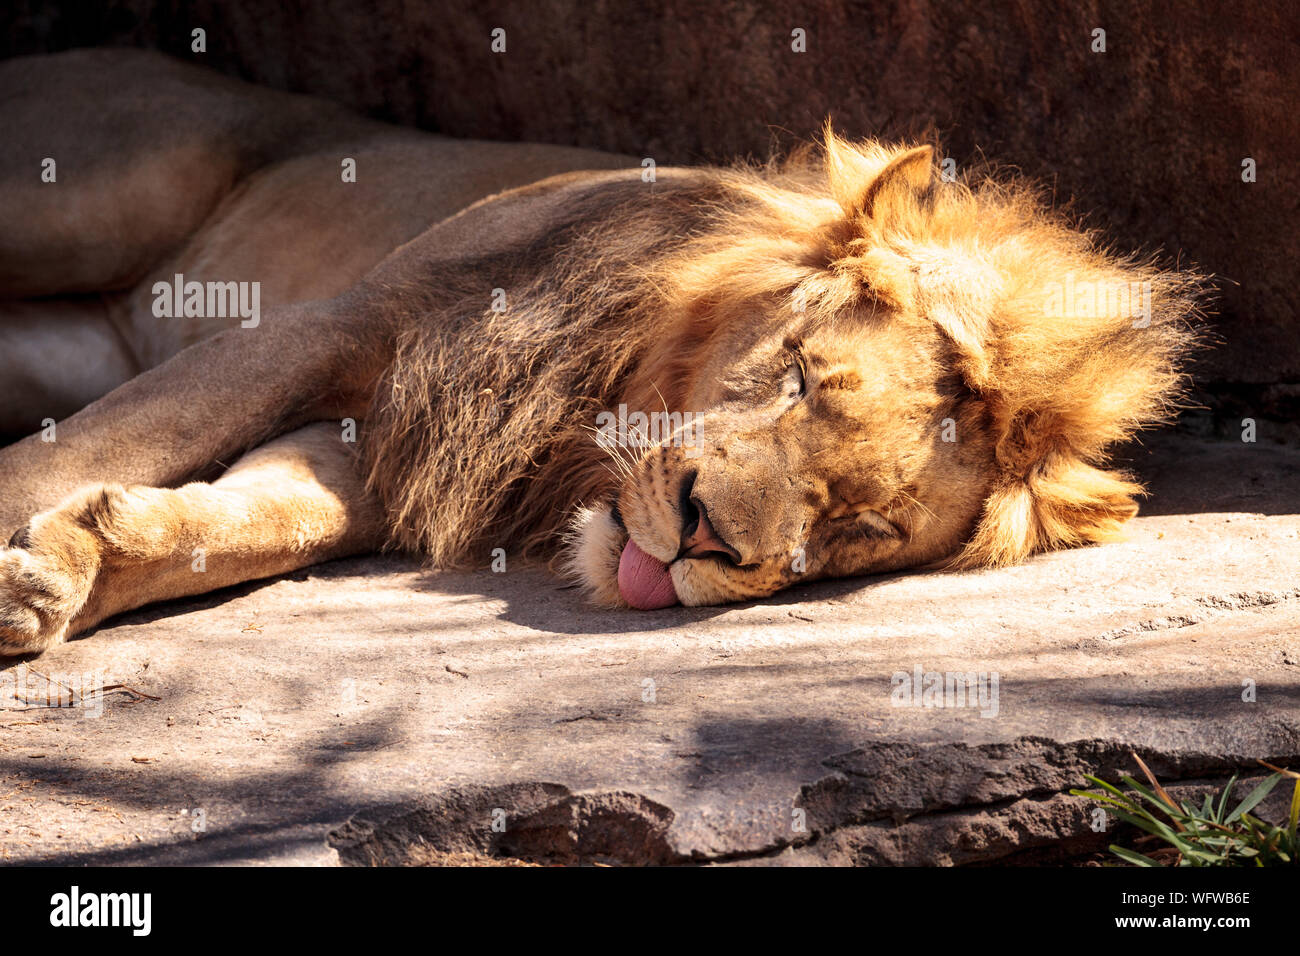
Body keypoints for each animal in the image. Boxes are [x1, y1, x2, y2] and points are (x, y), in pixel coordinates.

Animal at [0, 49, 1202, 655]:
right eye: (799, 377)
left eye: (862, 527)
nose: (704, 538)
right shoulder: (351, 322)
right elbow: (94, 447)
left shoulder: (395, 450)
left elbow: (248, 520)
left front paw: (67, 572)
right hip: (84, 197)